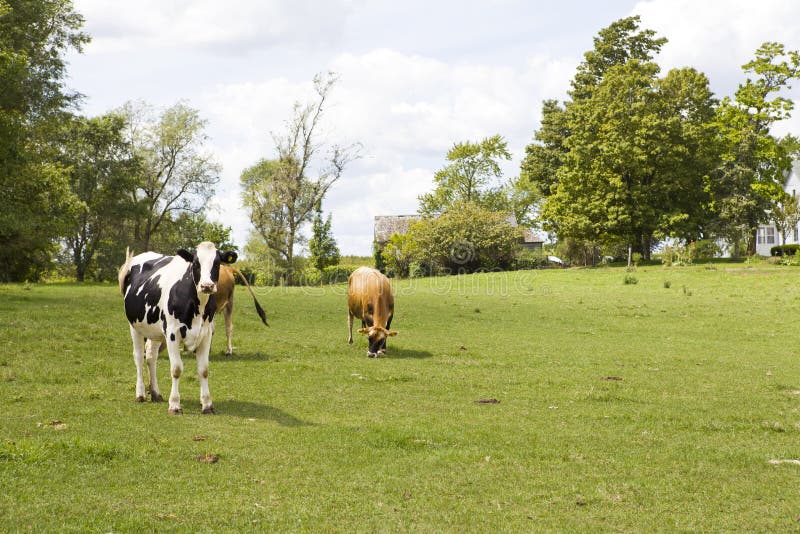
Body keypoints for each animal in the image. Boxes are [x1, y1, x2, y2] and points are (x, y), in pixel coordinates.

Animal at [118, 241, 237, 414]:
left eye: (217, 263)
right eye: (195, 263)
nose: (207, 286)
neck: (197, 305)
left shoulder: (206, 334)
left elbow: (204, 370)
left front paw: (207, 404)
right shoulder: (172, 334)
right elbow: (176, 369)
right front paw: (174, 404)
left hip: (155, 331)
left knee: (151, 356)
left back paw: (155, 393)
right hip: (135, 326)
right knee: (139, 356)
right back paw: (140, 394)